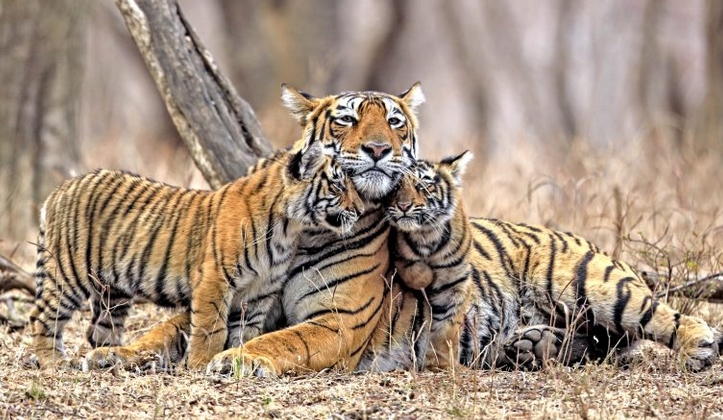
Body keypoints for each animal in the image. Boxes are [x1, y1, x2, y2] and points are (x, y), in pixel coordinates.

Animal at [28, 138, 364, 370]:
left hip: (113, 292)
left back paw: (101, 359)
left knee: (98, 330)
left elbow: (245, 331)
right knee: (42, 318)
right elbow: (210, 328)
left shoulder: (260, 290)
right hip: (68, 276)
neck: (288, 227)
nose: (361, 210)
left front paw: (232, 358)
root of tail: (59, 191)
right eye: (338, 185)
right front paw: (200, 365)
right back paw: (54, 363)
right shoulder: (215, 280)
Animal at [78, 83, 427, 375]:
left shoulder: (340, 319)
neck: (304, 232)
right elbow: (172, 328)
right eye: (347, 120)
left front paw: (237, 358)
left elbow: (286, 340)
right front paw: (113, 353)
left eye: (394, 122)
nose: (378, 149)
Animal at [358, 152, 721, 373]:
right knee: (601, 341)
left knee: (656, 314)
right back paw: (534, 345)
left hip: (586, 285)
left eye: (424, 184)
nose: (404, 206)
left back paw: (699, 348)